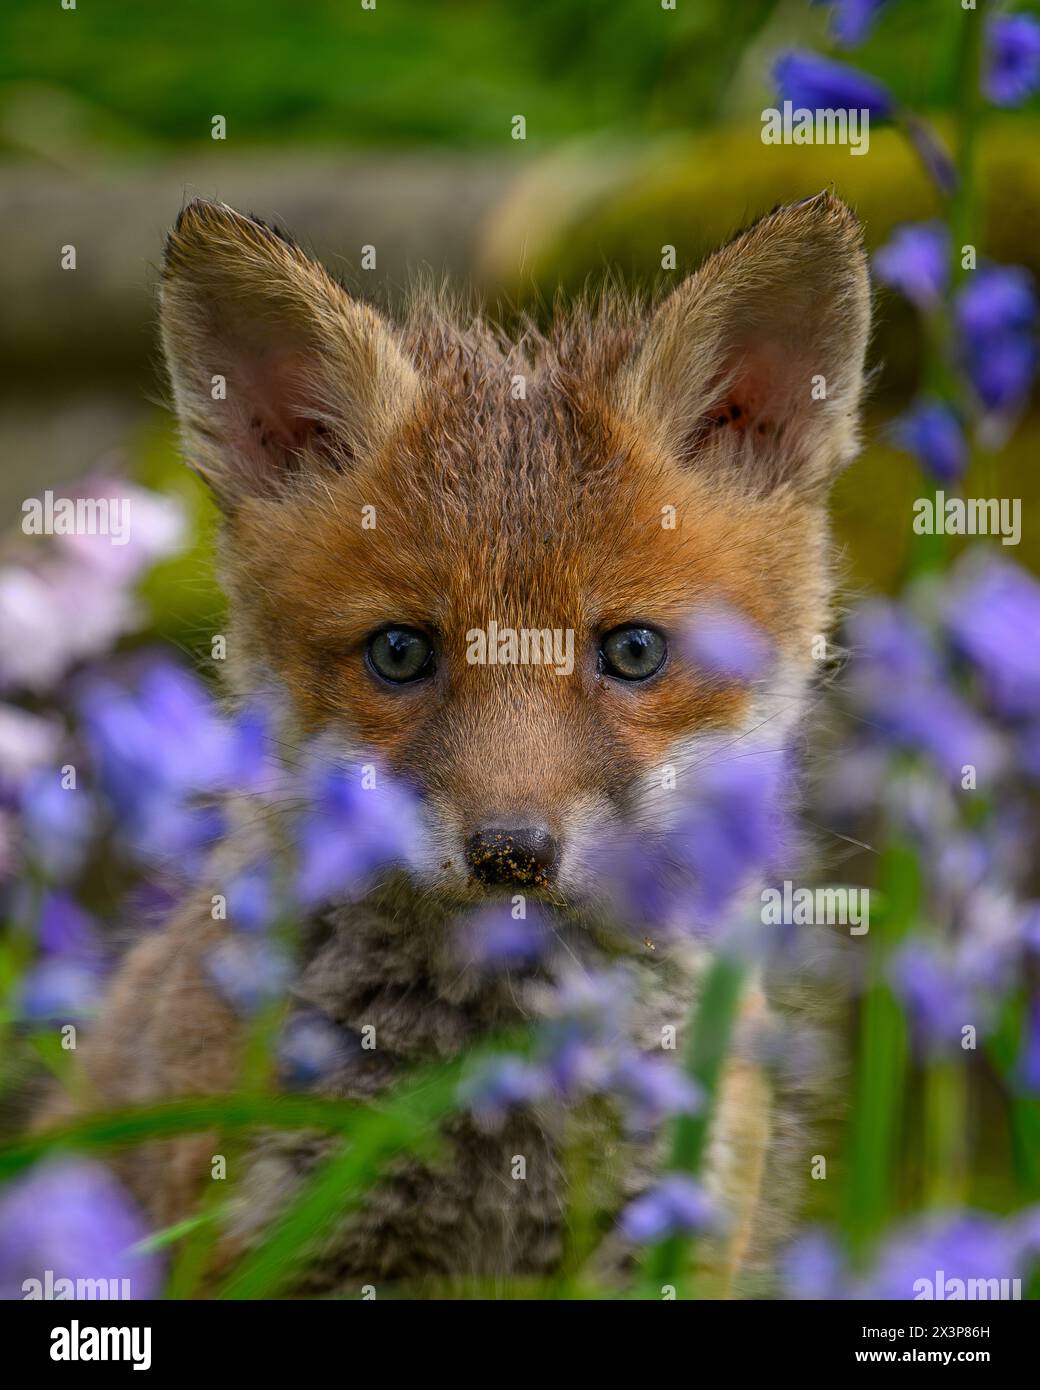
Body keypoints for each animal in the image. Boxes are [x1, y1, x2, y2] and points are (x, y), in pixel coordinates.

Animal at [49, 191, 870, 1297]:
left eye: (634, 651)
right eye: (400, 652)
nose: (510, 852)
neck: (498, 1102)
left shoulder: (665, 1235)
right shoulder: (275, 1240)